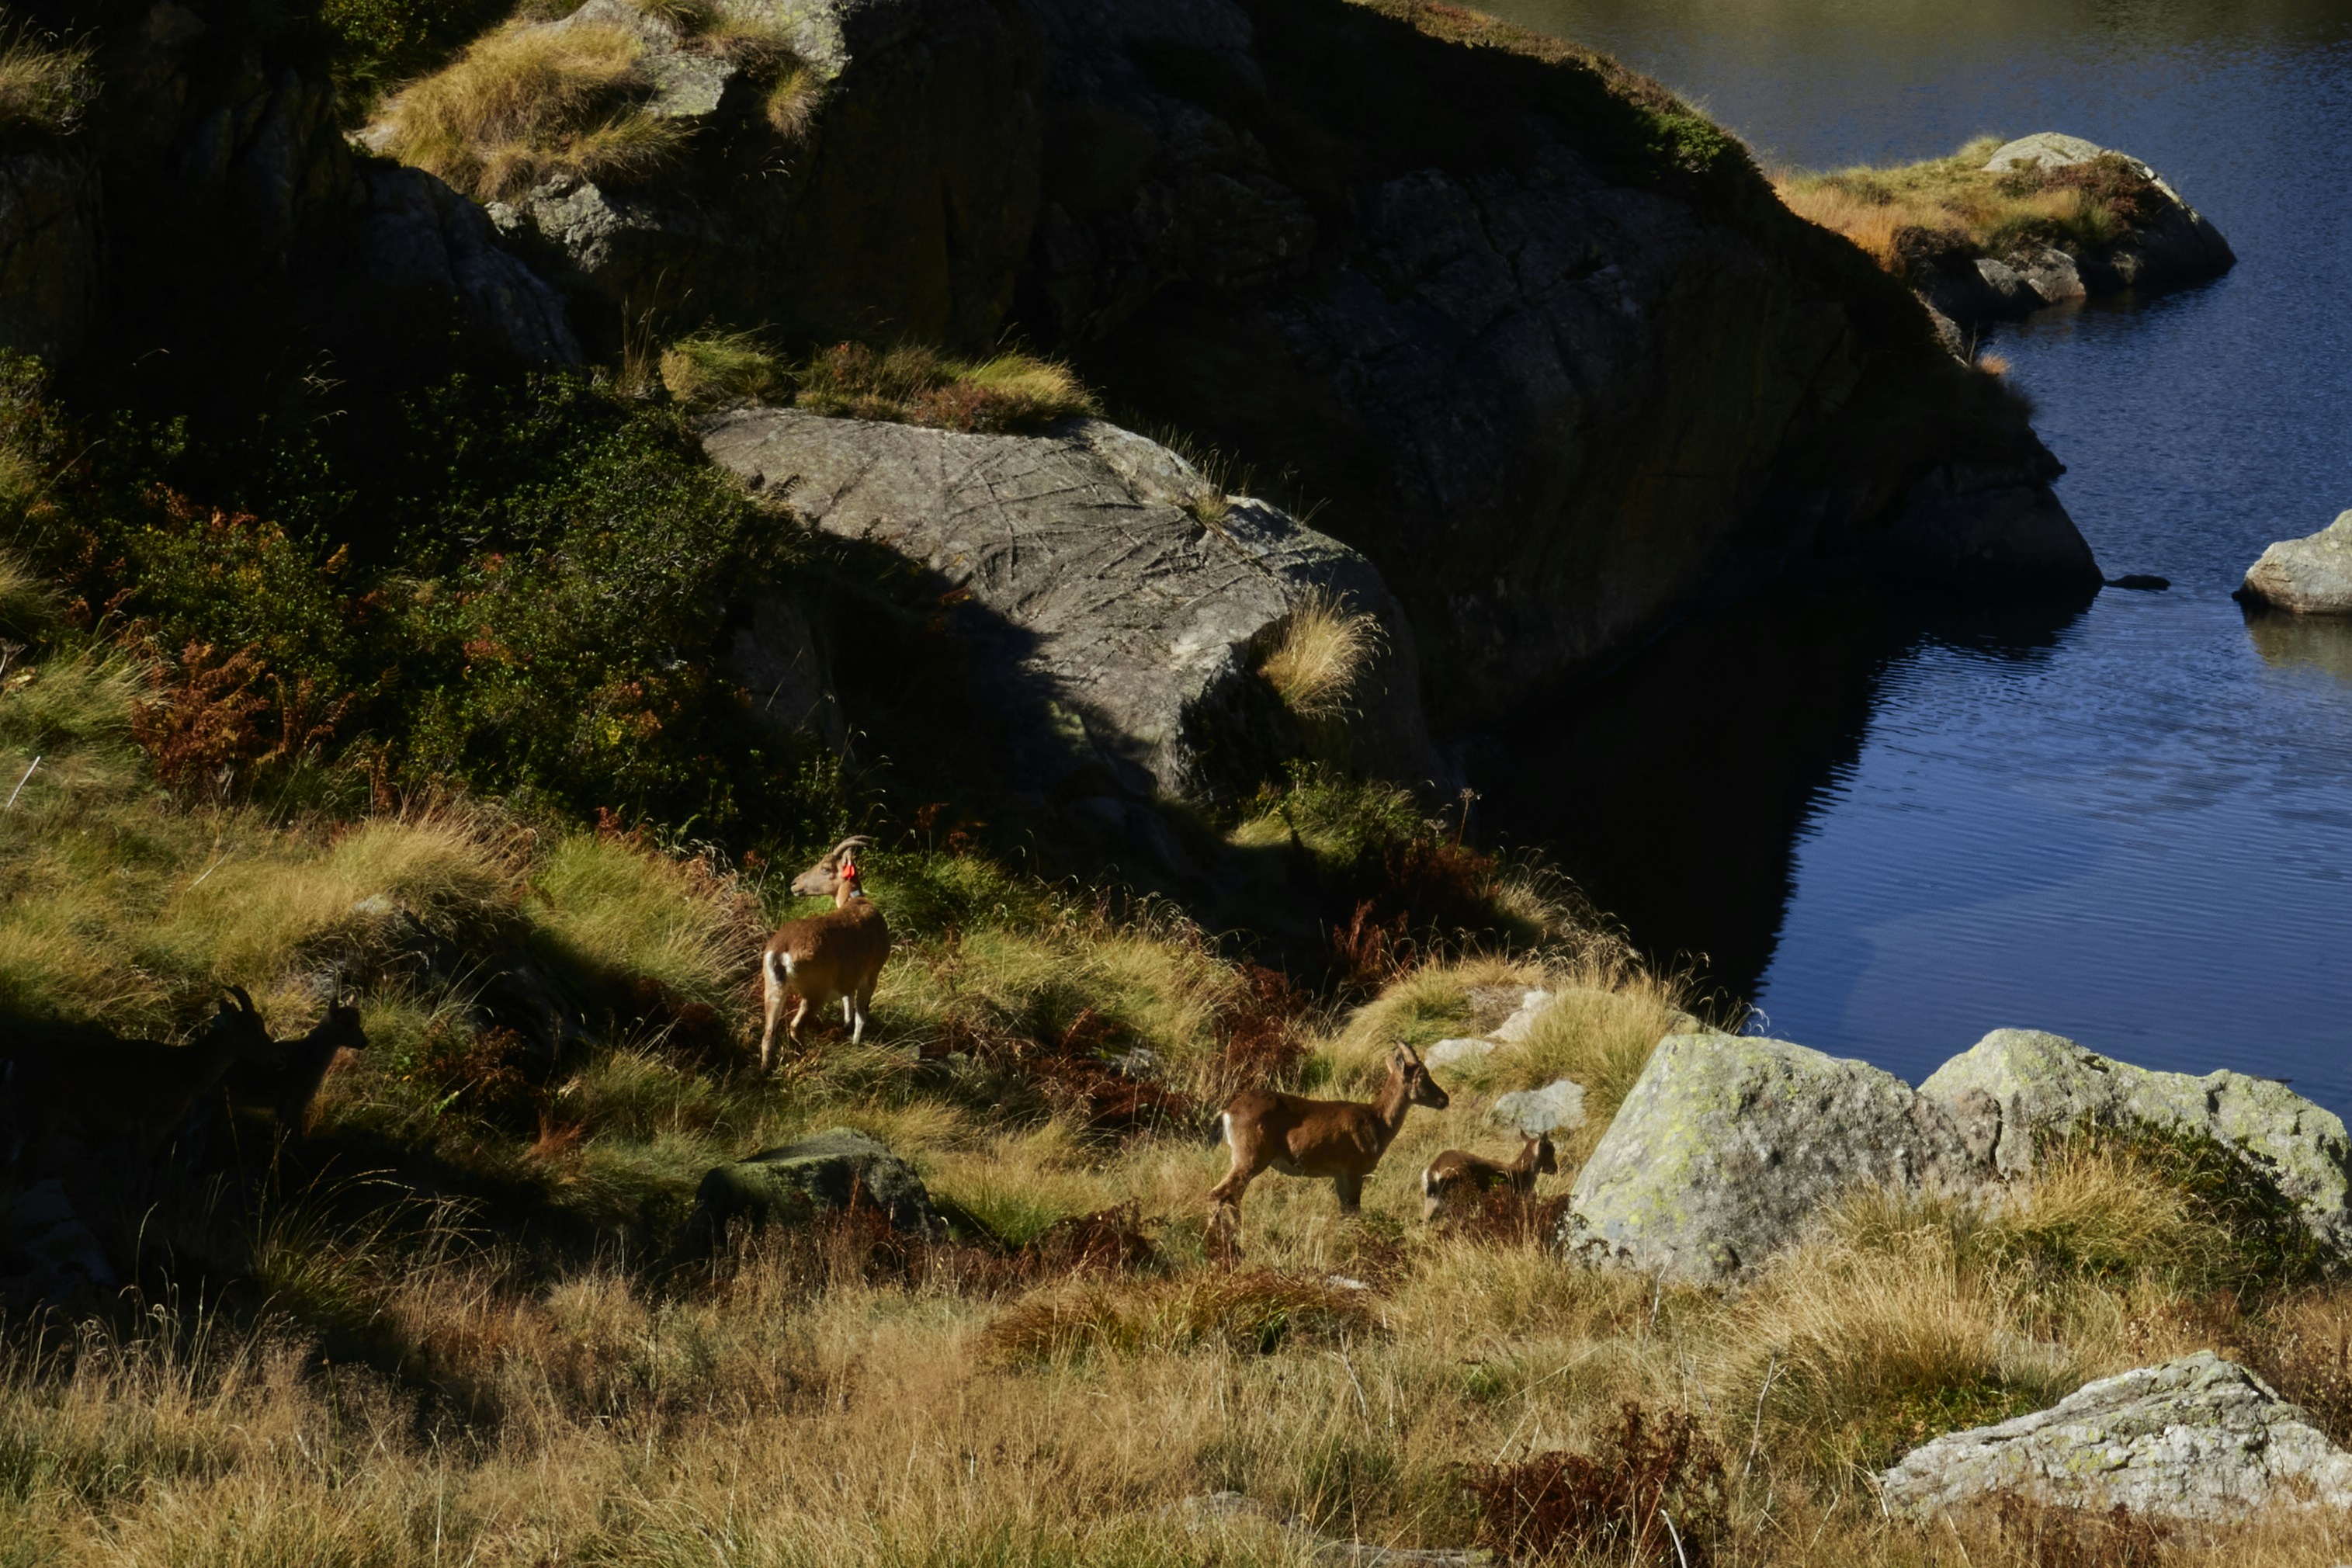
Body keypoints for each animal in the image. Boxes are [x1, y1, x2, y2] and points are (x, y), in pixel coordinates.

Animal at [221, 1000, 369, 1143]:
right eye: (346, 1022)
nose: (365, 1042)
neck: (310, 1053)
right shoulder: (299, 1099)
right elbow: (296, 1133)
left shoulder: (282, 1103)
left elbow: (282, 1131)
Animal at [758, 836, 890, 1070]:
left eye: (825, 867)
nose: (795, 884)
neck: (855, 901)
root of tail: (779, 952)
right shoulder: (872, 973)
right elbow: (861, 1013)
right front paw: (856, 1043)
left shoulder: (849, 976)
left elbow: (848, 999)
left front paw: (846, 1027)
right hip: (814, 990)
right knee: (796, 1026)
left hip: (773, 987)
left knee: (769, 1032)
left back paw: (766, 1069)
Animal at [1207, 1045, 1449, 1233]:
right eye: (1422, 1075)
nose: (1444, 1099)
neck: (1377, 1121)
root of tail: (1228, 1112)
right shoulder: (1354, 1170)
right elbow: (1353, 1211)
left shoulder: (1339, 1175)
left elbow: (1345, 1212)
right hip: (1250, 1157)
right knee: (1219, 1193)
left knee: (1232, 1196)